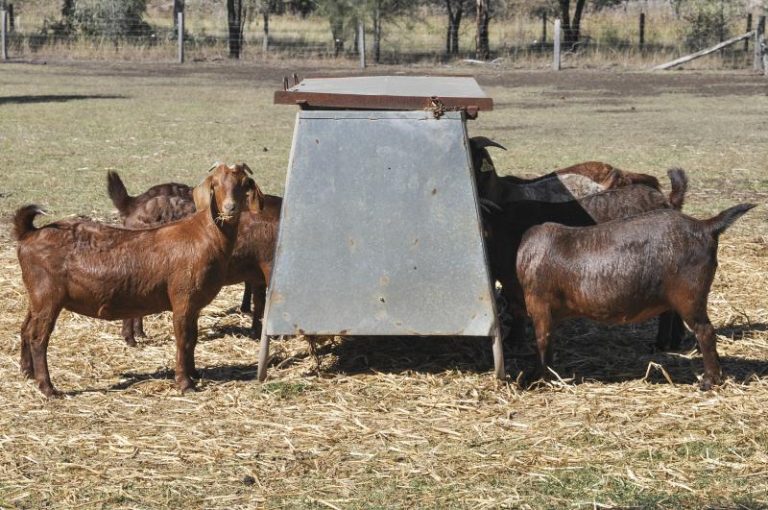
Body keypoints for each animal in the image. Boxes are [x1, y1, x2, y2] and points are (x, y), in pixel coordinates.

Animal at [14, 163, 257, 396]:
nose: (230, 208)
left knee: (25, 327)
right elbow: (183, 340)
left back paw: (27, 372)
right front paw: (185, 383)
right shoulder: (182, 299)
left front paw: (195, 373)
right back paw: (47, 387)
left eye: (244, 183)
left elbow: (193, 339)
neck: (204, 235)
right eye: (215, 184)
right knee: (38, 338)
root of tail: (29, 234)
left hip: (36, 297)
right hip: (48, 297)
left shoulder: (194, 305)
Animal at [515, 203, 756, 390]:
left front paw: (534, 379)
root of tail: (704, 226)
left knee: (705, 332)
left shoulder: (539, 303)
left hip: (689, 296)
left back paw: (709, 381)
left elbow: (542, 341)